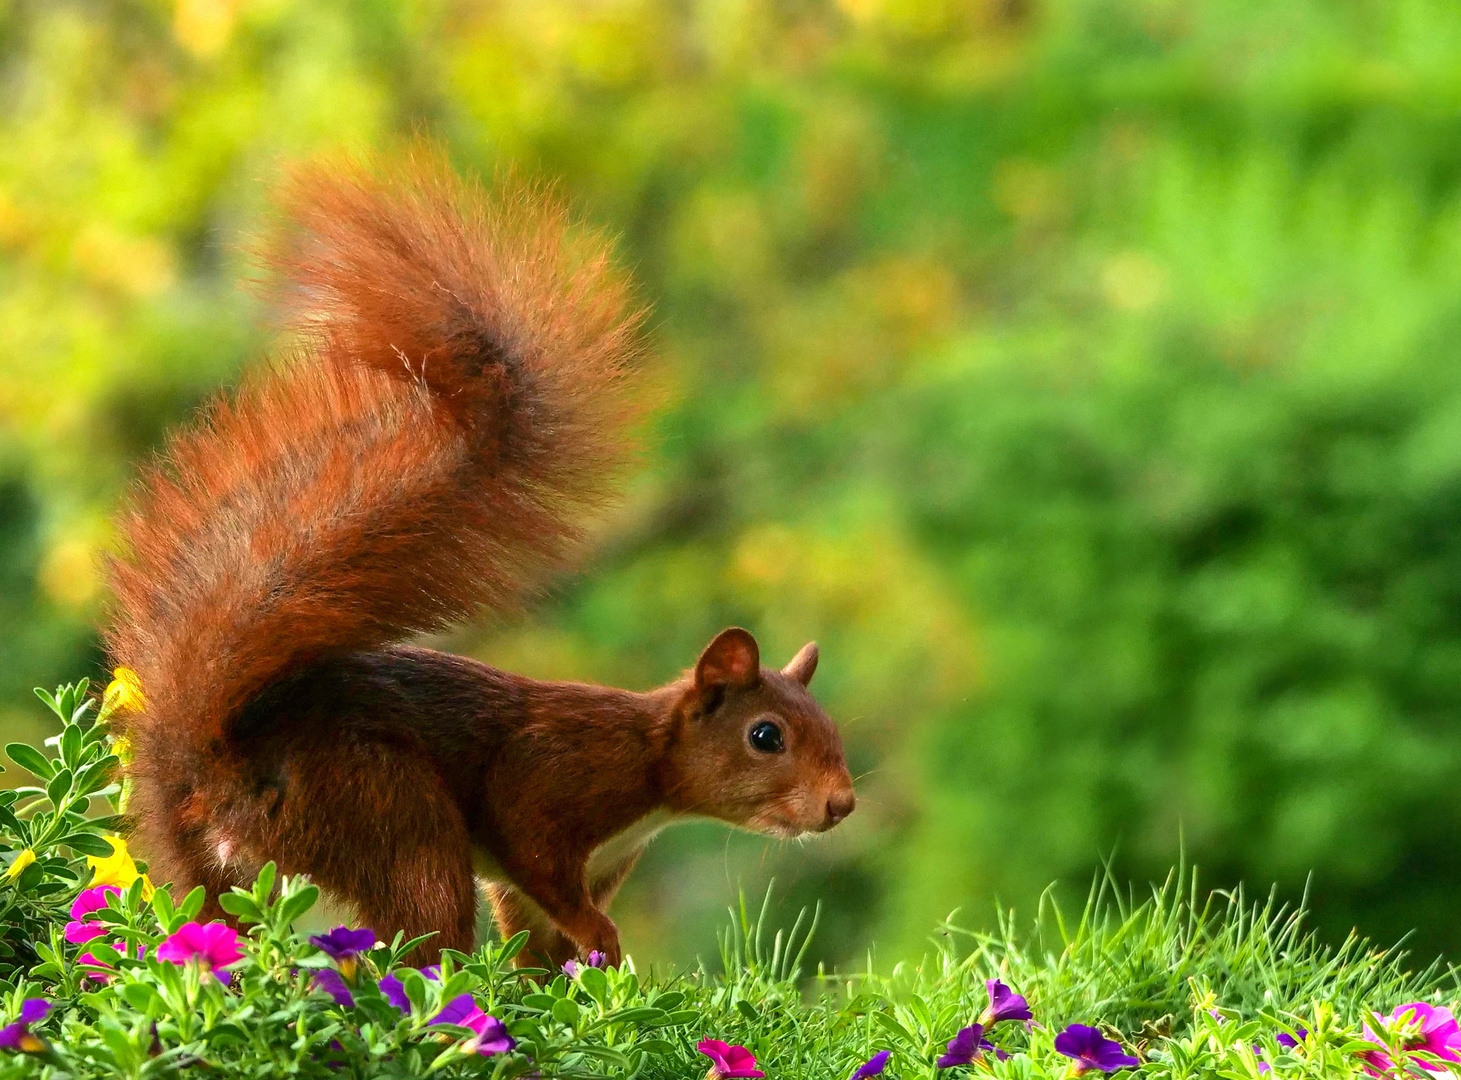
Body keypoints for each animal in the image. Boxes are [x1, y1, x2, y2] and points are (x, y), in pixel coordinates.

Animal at [105, 154, 853, 970]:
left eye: (831, 728)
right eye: (765, 736)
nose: (842, 804)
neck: (651, 767)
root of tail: (219, 766)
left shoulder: (581, 868)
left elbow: (536, 937)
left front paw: (569, 977)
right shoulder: (550, 780)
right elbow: (536, 858)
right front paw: (603, 938)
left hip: (234, 873)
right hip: (392, 813)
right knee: (413, 934)